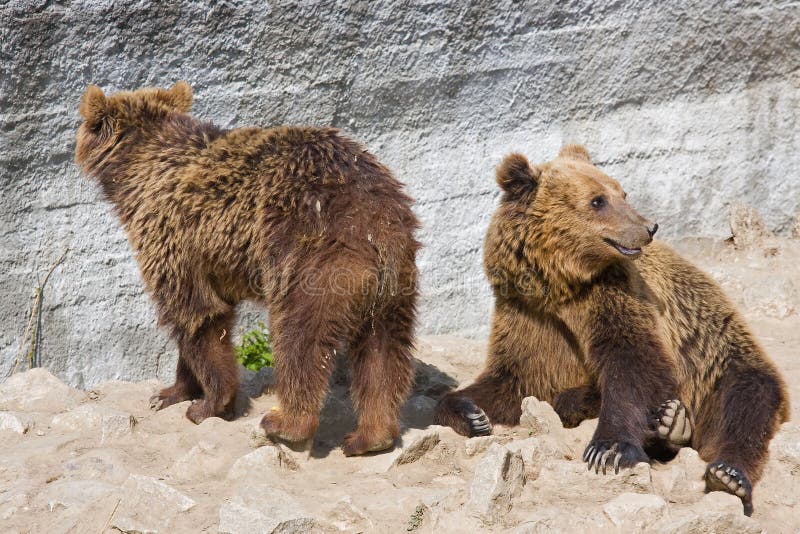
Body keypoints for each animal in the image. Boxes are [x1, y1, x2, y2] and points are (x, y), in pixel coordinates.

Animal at [75, 81, 420, 456]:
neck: (140, 172)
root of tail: (373, 221)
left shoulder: (175, 239)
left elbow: (197, 317)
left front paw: (209, 404)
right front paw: (170, 392)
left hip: (311, 258)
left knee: (300, 340)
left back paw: (285, 422)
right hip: (394, 281)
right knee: (383, 352)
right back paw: (370, 436)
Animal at [434, 145, 789, 515]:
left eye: (622, 192)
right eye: (597, 200)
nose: (650, 226)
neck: (559, 284)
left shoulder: (612, 294)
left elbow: (633, 361)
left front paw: (609, 449)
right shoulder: (526, 314)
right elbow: (509, 380)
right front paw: (472, 414)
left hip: (717, 360)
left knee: (745, 405)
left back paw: (724, 472)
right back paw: (670, 425)